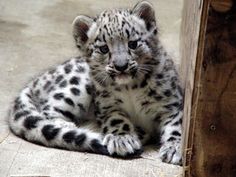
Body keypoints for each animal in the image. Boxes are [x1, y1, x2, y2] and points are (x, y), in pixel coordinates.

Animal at [8, 1, 183, 165]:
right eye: (104, 48)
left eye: (133, 43)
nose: (121, 66)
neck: (130, 88)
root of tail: (36, 80)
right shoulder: (108, 106)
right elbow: (117, 120)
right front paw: (122, 140)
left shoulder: (172, 104)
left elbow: (177, 127)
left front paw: (175, 149)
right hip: (76, 86)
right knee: (48, 109)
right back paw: (68, 126)